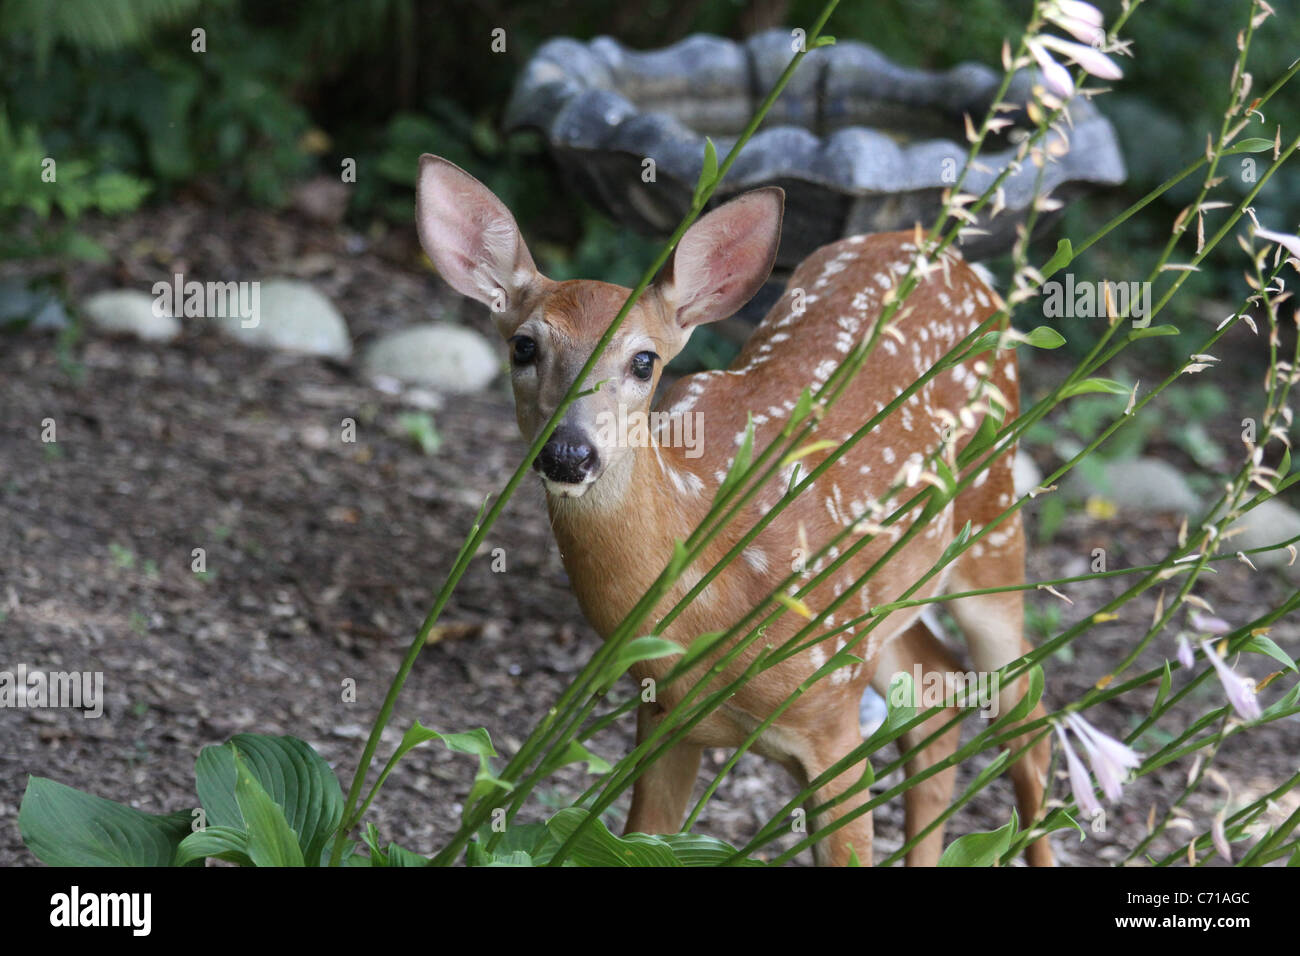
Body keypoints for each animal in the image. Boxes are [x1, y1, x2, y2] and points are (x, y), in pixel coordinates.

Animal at [415, 153, 1054, 866]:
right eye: (523, 347)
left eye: (644, 360)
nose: (569, 452)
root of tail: (959, 262)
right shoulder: (663, 721)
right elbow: (640, 836)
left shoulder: (832, 725)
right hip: (887, 599)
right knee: (938, 690)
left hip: (993, 516)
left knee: (1027, 708)